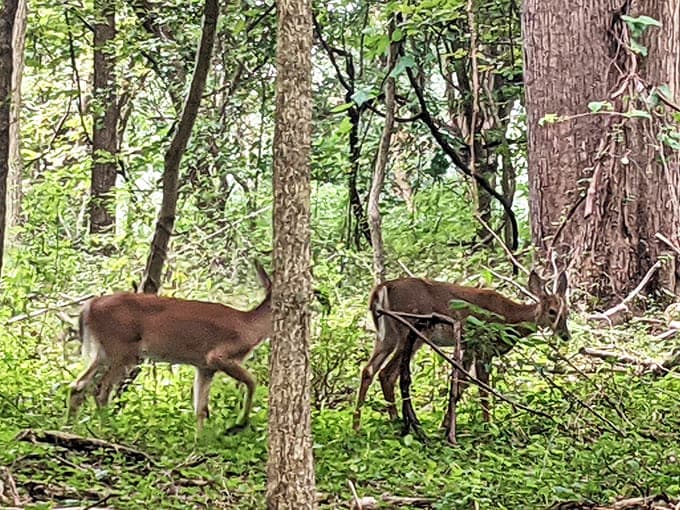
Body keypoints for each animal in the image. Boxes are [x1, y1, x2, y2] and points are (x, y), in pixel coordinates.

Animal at [68, 261, 272, 433]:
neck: (248, 327)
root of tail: (88, 306)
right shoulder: (218, 355)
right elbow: (252, 381)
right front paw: (240, 423)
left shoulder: (205, 367)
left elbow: (200, 409)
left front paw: (200, 443)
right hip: (123, 349)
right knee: (101, 390)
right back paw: (107, 430)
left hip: (104, 352)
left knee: (78, 385)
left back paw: (71, 428)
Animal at [353, 269, 570, 442]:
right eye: (552, 311)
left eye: (567, 312)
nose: (566, 336)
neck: (510, 317)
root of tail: (381, 288)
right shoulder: (483, 344)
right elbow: (483, 388)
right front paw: (488, 427)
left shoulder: (468, 347)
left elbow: (460, 386)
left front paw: (445, 426)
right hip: (410, 331)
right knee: (387, 373)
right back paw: (397, 421)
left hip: (387, 335)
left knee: (369, 369)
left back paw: (358, 425)